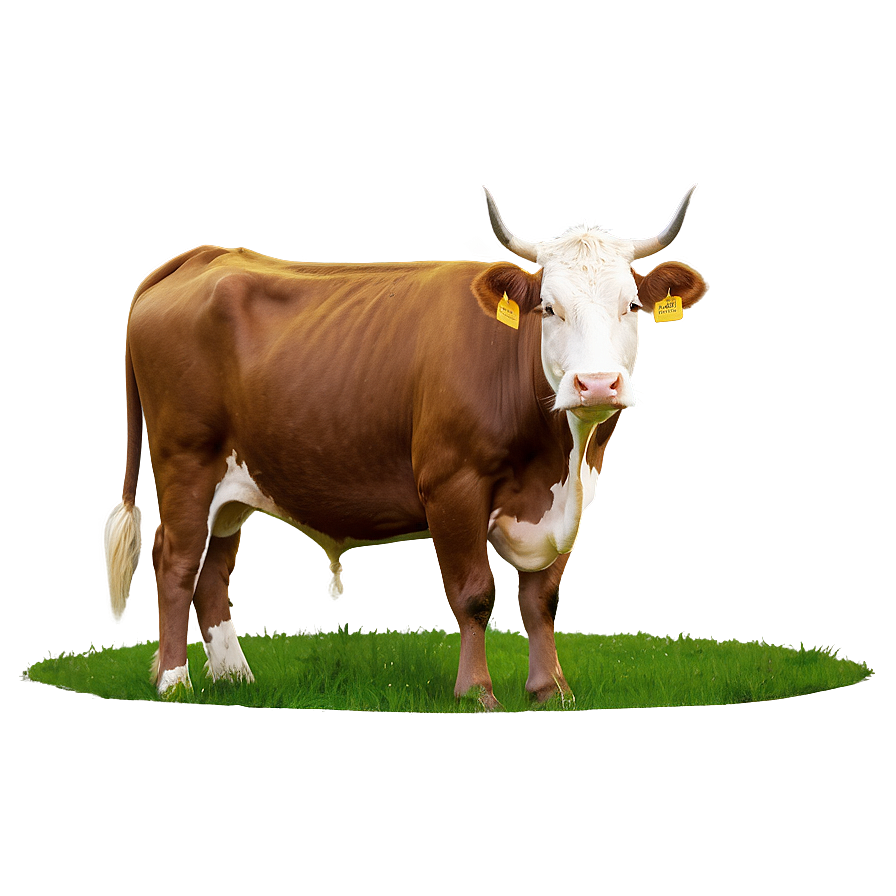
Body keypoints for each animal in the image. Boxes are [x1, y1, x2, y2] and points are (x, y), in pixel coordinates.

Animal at [104, 185, 705, 708]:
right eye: (548, 308)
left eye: (631, 305)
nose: (597, 384)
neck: (559, 463)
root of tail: (209, 255)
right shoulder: (452, 484)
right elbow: (474, 594)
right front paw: (476, 694)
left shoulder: (564, 501)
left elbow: (541, 600)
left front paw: (550, 691)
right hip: (186, 460)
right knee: (177, 561)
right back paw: (175, 682)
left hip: (231, 483)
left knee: (215, 569)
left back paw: (235, 679)